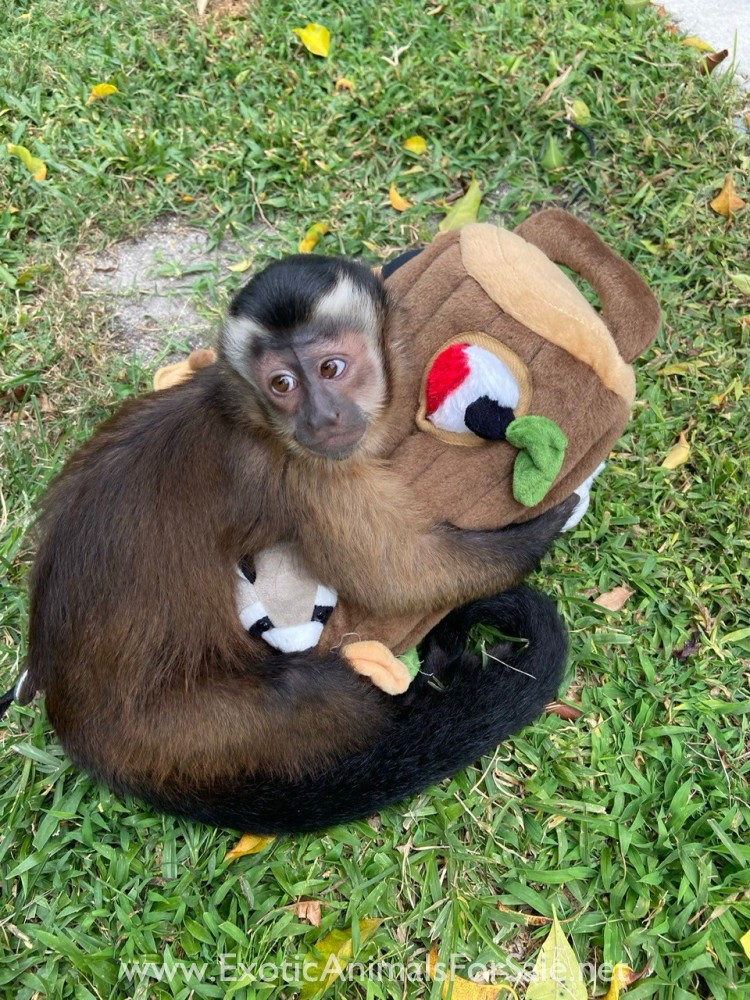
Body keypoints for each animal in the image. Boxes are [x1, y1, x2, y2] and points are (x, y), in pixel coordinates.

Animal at [2, 253, 575, 833]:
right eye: (282, 384)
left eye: (330, 370)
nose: (321, 417)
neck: (253, 416)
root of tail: (76, 728)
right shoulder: (302, 475)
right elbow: (400, 577)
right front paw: (544, 528)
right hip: (180, 734)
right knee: (304, 692)